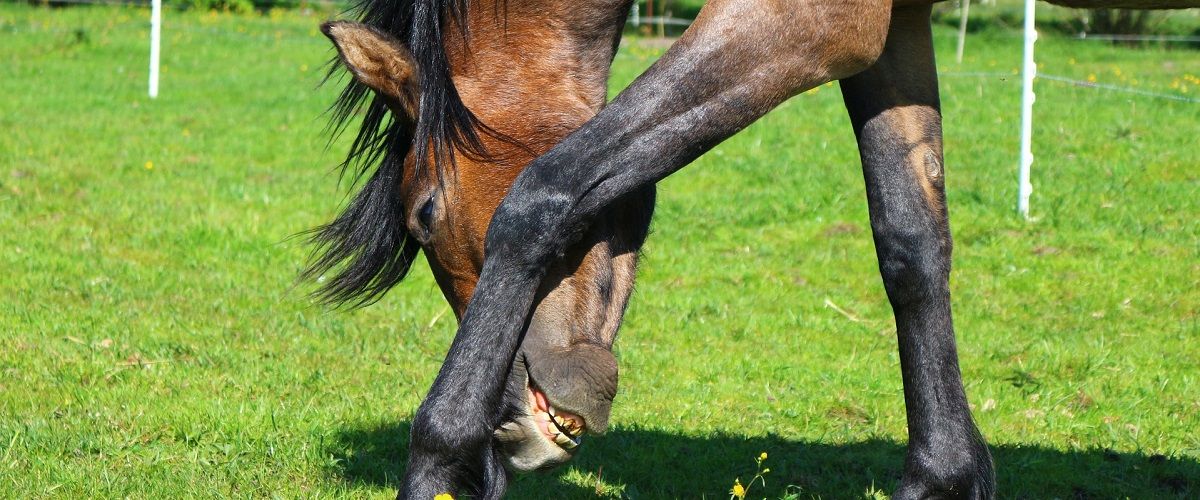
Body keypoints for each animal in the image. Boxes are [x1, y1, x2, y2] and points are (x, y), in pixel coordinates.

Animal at [307, 0, 1198, 498]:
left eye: (424, 214)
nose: (509, 429)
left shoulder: (802, 17)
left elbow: (545, 193)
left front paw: (441, 462)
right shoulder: (888, 31)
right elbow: (911, 243)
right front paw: (944, 475)